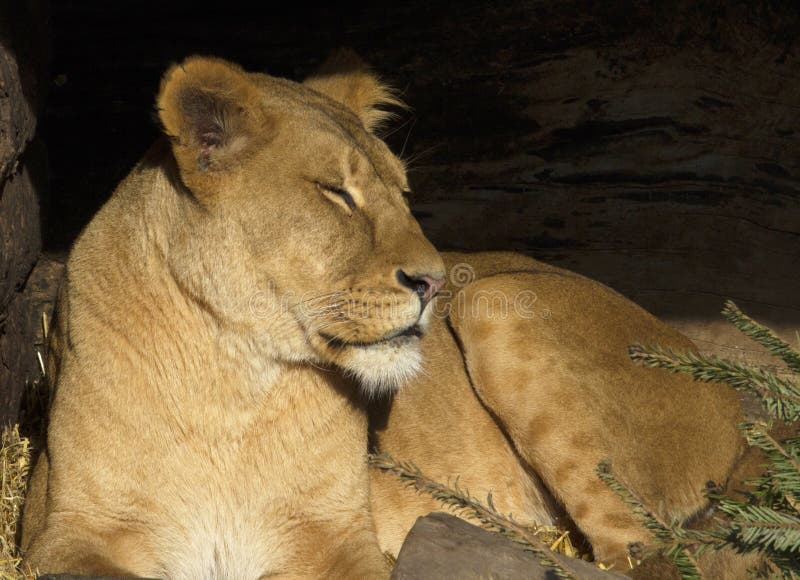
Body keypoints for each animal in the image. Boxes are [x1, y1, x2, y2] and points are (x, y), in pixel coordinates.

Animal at [20, 51, 744, 578]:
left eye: (401, 191)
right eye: (337, 194)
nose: (433, 281)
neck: (235, 379)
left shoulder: (339, 536)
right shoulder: (61, 531)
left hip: (493, 302)